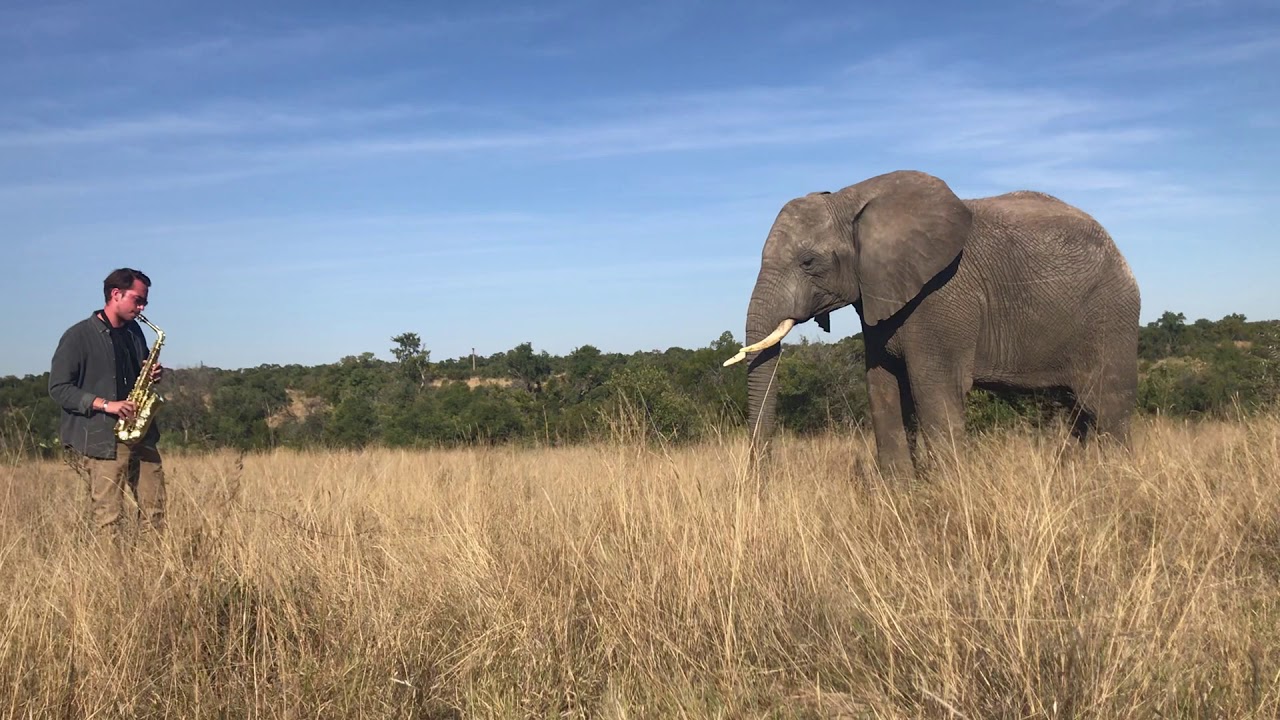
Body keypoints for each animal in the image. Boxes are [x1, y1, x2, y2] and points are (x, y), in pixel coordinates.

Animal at [724, 169, 1141, 477]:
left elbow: (935, 391)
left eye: (808, 262)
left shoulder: (942, 296)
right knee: (1077, 412)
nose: (764, 483)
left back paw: (1114, 481)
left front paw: (952, 496)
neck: (852, 198)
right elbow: (882, 387)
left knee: (1106, 407)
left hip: (1110, 317)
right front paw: (898, 495)